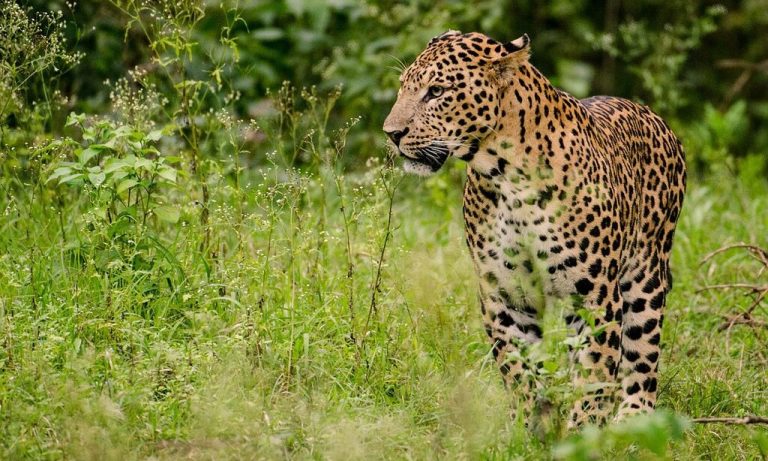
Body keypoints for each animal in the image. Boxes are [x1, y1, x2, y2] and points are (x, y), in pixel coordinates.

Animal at [383, 30, 686, 427]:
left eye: (436, 92)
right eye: (403, 87)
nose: (391, 133)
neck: (505, 176)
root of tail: (654, 116)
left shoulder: (595, 297)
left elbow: (594, 376)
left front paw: (581, 432)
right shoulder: (506, 295)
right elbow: (519, 370)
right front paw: (529, 428)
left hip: (645, 278)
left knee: (642, 359)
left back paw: (633, 420)